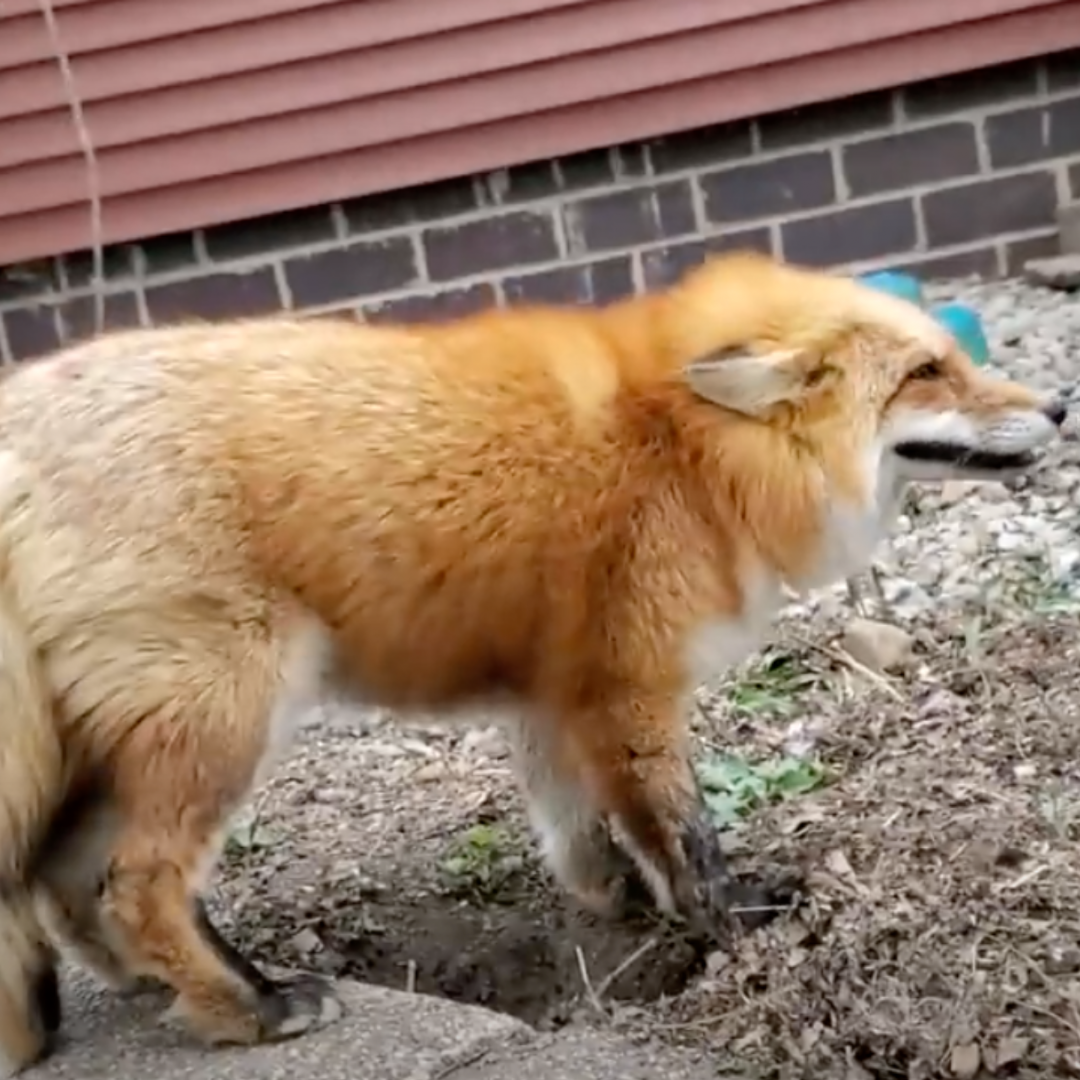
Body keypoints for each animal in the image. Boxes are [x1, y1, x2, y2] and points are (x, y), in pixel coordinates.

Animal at [0, 250, 1067, 1074]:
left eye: (954, 359)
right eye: (927, 372)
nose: (1060, 405)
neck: (685, 448)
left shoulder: (561, 695)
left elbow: (579, 833)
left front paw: (619, 916)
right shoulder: (631, 686)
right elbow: (684, 832)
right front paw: (731, 921)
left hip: (119, 741)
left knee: (59, 880)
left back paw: (146, 991)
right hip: (229, 714)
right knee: (138, 884)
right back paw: (250, 1010)